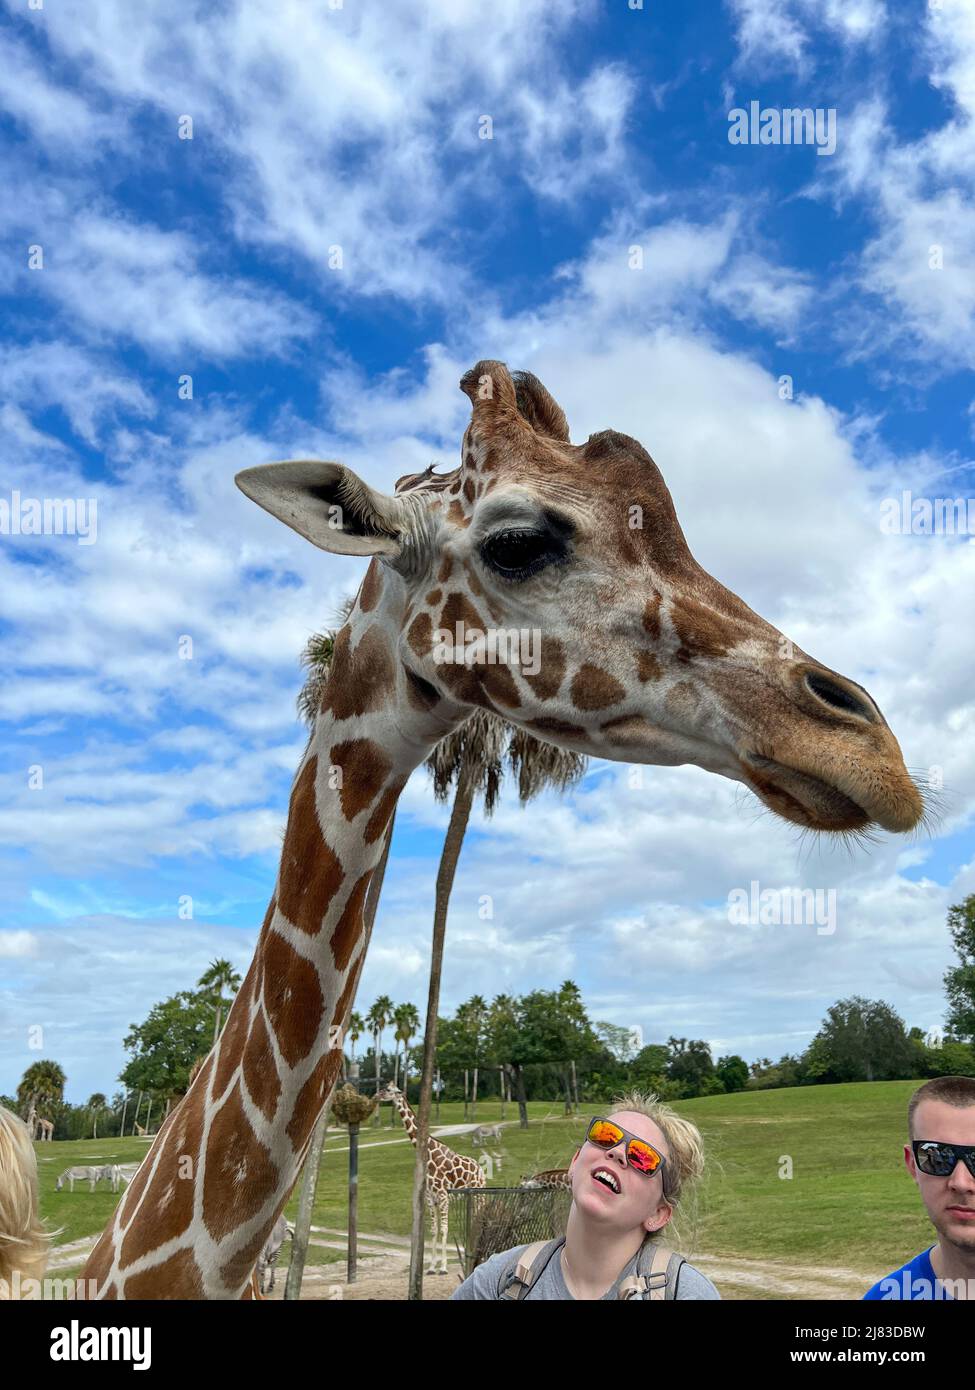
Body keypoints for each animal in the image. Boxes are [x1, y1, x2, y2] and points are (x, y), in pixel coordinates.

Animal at [378, 1082, 485, 1274]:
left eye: (389, 1090)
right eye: (384, 1087)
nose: (377, 1095)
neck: (429, 1156)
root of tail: (481, 1170)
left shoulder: (443, 1196)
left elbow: (444, 1229)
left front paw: (443, 1267)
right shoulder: (430, 1197)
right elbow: (434, 1230)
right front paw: (431, 1267)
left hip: (480, 1193)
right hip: (471, 1196)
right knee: (475, 1221)